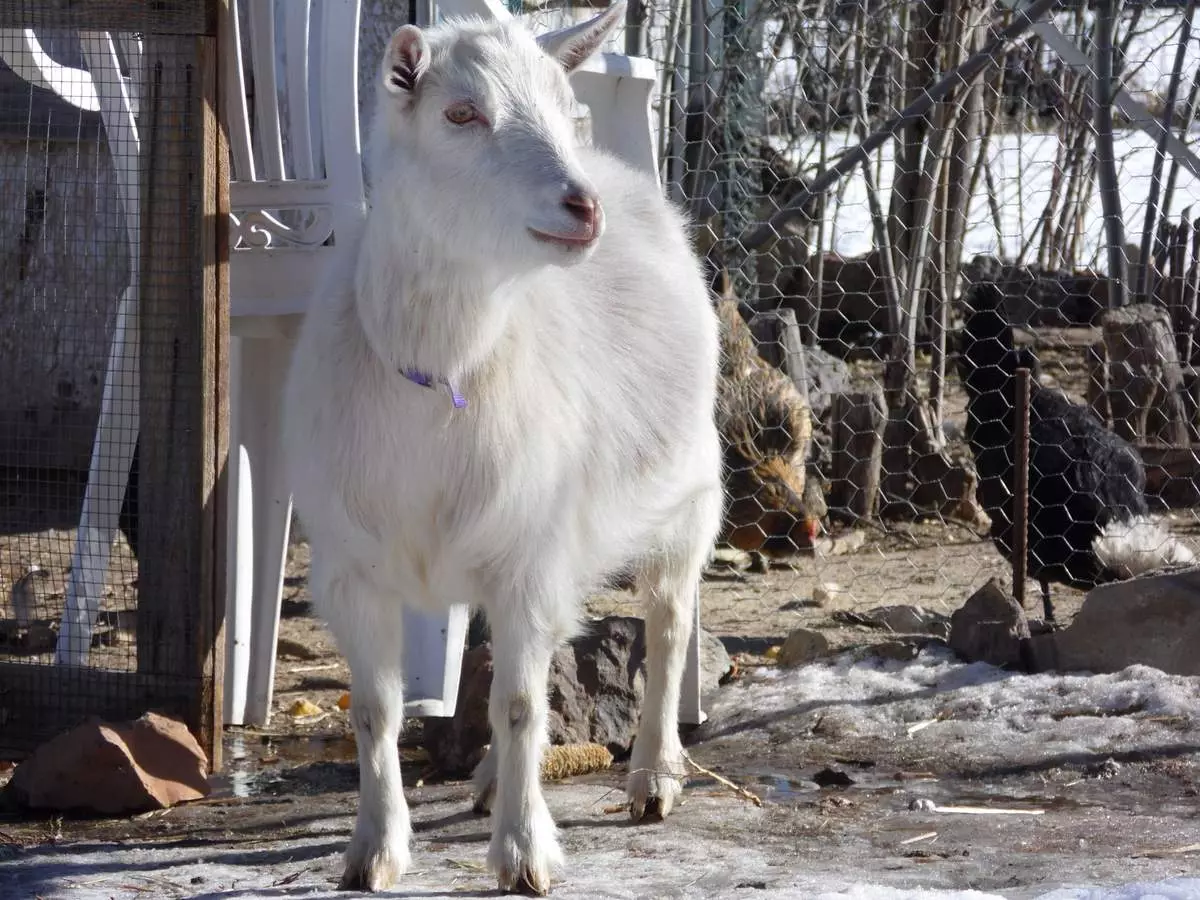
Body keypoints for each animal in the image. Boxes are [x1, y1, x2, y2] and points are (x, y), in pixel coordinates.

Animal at [283, 3, 720, 897]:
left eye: (561, 104)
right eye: (461, 113)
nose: (582, 207)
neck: (438, 377)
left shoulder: (531, 558)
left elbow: (519, 704)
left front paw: (525, 853)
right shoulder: (352, 570)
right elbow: (376, 710)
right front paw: (373, 851)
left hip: (690, 493)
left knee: (667, 623)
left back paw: (653, 776)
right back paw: (490, 780)